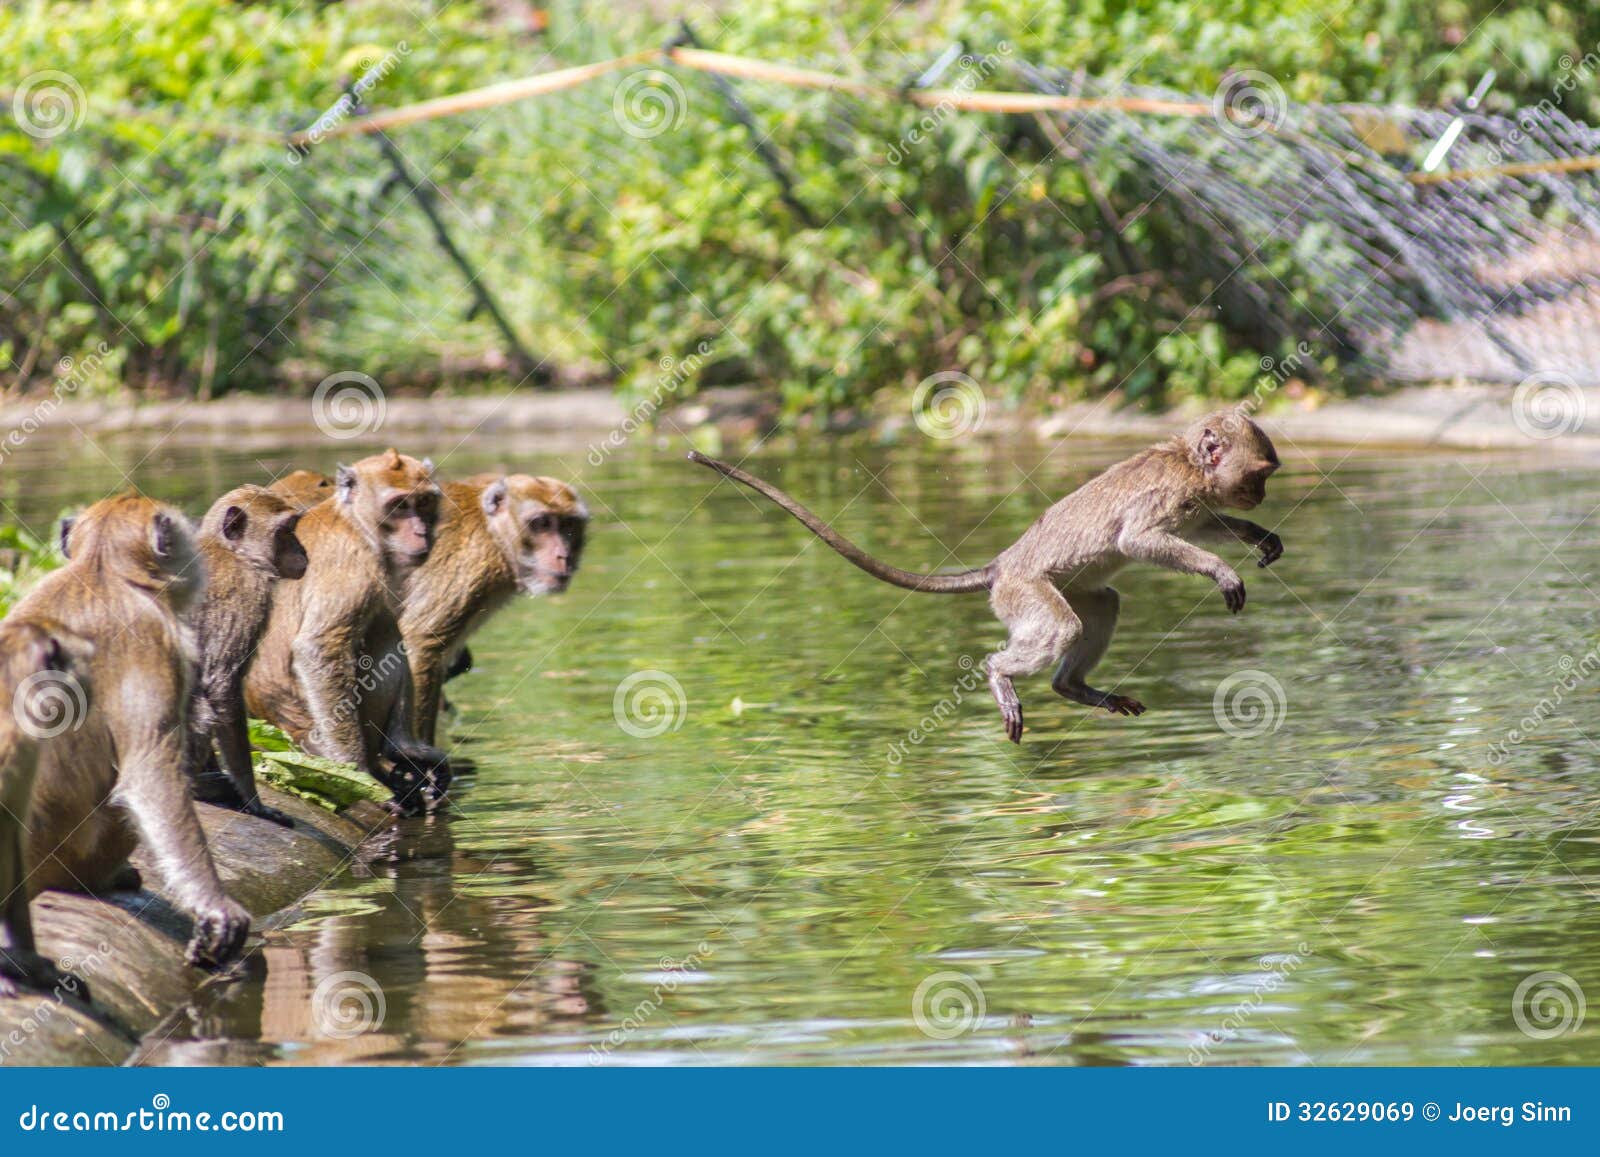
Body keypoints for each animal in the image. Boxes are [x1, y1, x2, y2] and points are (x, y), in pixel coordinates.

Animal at [185, 486, 307, 828]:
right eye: (286, 531)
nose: (304, 551)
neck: (232, 551)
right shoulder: (247, 593)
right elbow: (222, 684)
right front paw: (252, 799)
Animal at [244, 450, 450, 814]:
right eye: (399, 506)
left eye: (424, 502)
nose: (421, 532)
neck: (356, 523)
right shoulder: (355, 565)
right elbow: (318, 648)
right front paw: (358, 773)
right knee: (383, 629)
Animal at [399, 474, 588, 745]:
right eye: (541, 523)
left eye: (568, 525)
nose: (564, 556)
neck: (492, 534)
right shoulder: (466, 565)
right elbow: (418, 641)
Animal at [689, 409, 1284, 743]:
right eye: (1258, 475)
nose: (1261, 496)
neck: (1190, 464)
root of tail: (1001, 565)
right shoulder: (1169, 494)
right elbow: (1135, 541)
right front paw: (1221, 572)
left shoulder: (1194, 501)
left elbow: (1202, 525)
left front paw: (1258, 537)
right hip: (1023, 592)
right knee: (1060, 626)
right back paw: (1001, 674)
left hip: (1060, 590)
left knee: (1103, 602)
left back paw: (1071, 688)